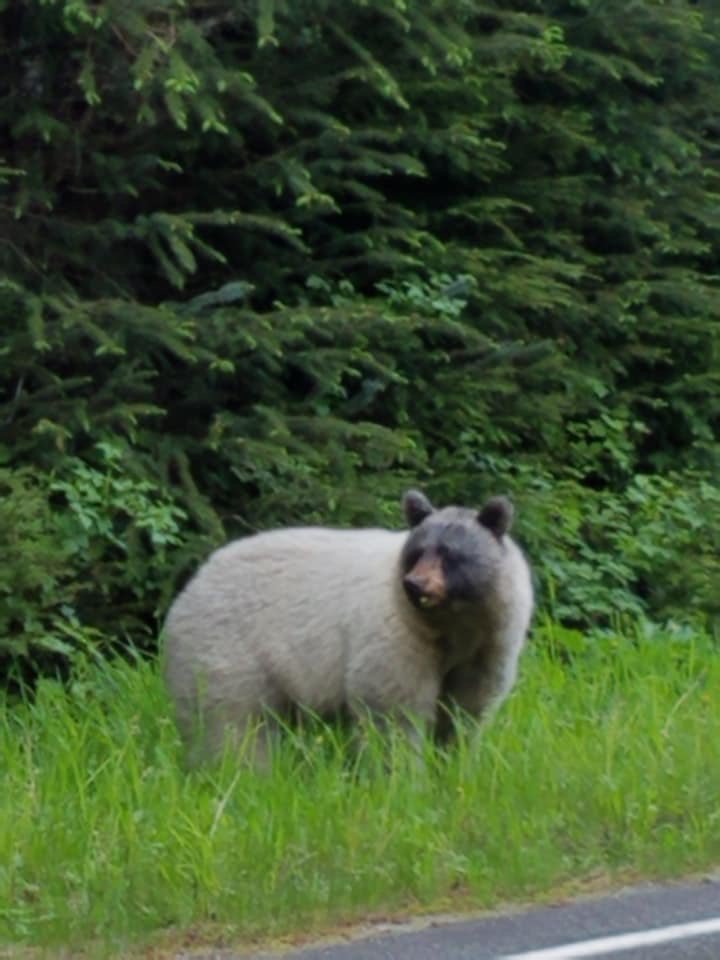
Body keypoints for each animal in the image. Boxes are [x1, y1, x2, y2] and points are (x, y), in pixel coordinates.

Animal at [162, 489, 533, 765]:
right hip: (229, 650)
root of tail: (190, 587)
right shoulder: (399, 637)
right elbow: (392, 708)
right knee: (232, 725)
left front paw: (453, 764)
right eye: (417, 552)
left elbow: (465, 710)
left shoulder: (486, 648)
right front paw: (403, 776)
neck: (453, 625)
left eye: (449, 554)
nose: (414, 584)